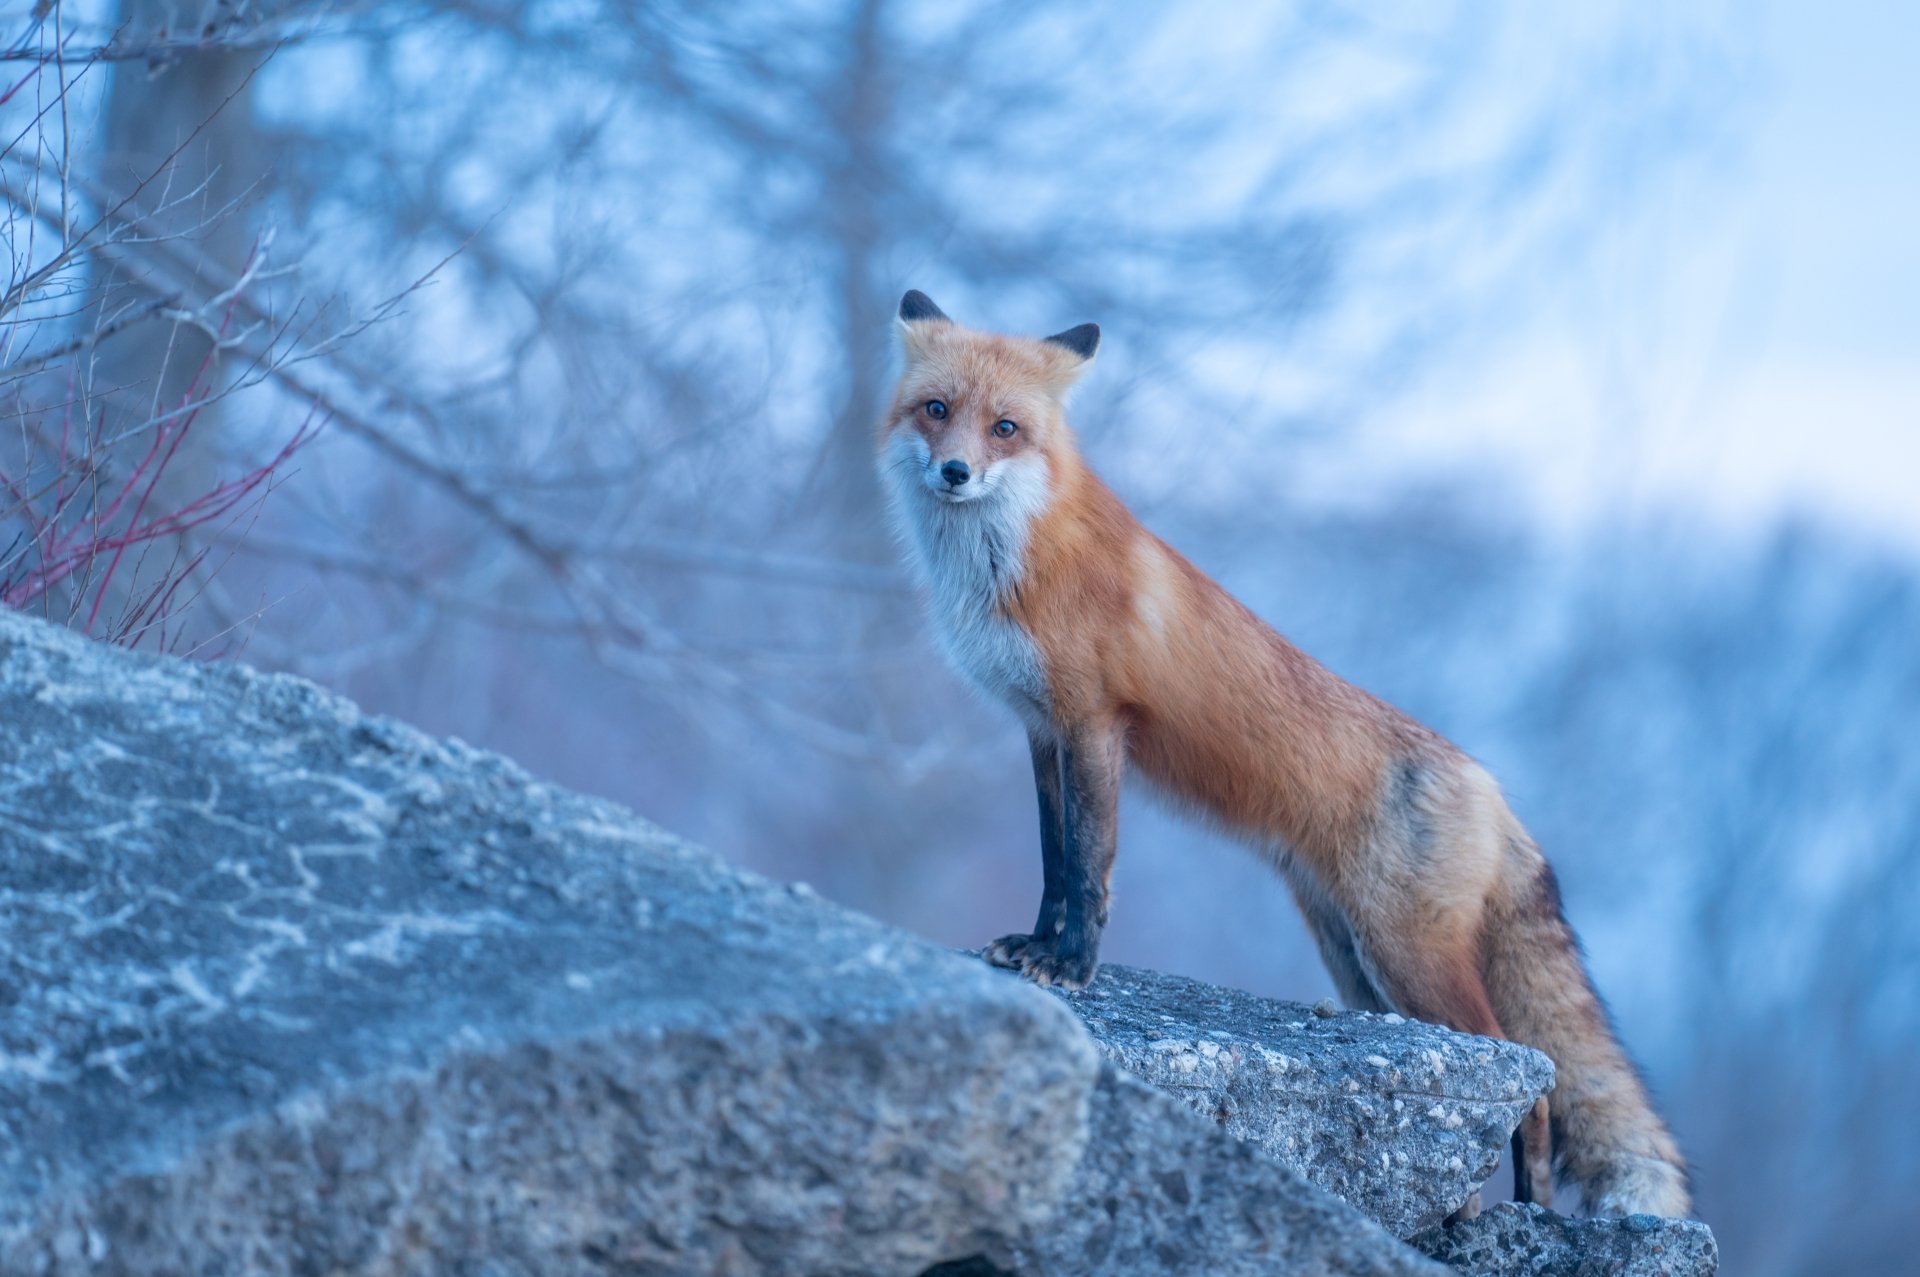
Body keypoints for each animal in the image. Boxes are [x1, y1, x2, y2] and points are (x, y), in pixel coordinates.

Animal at [874, 289, 1691, 1220]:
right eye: (938, 410)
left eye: (1005, 428)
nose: (955, 472)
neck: (1014, 558)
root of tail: (1491, 786)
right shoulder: (1042, 731)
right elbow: (1054, 859)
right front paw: (1034, 946)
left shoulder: (1094, 723)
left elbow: (1090, 866)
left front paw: (1073, 965)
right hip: (1358, 963)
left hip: (1406, 955)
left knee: (1536, 1072)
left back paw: (1525, 1207)